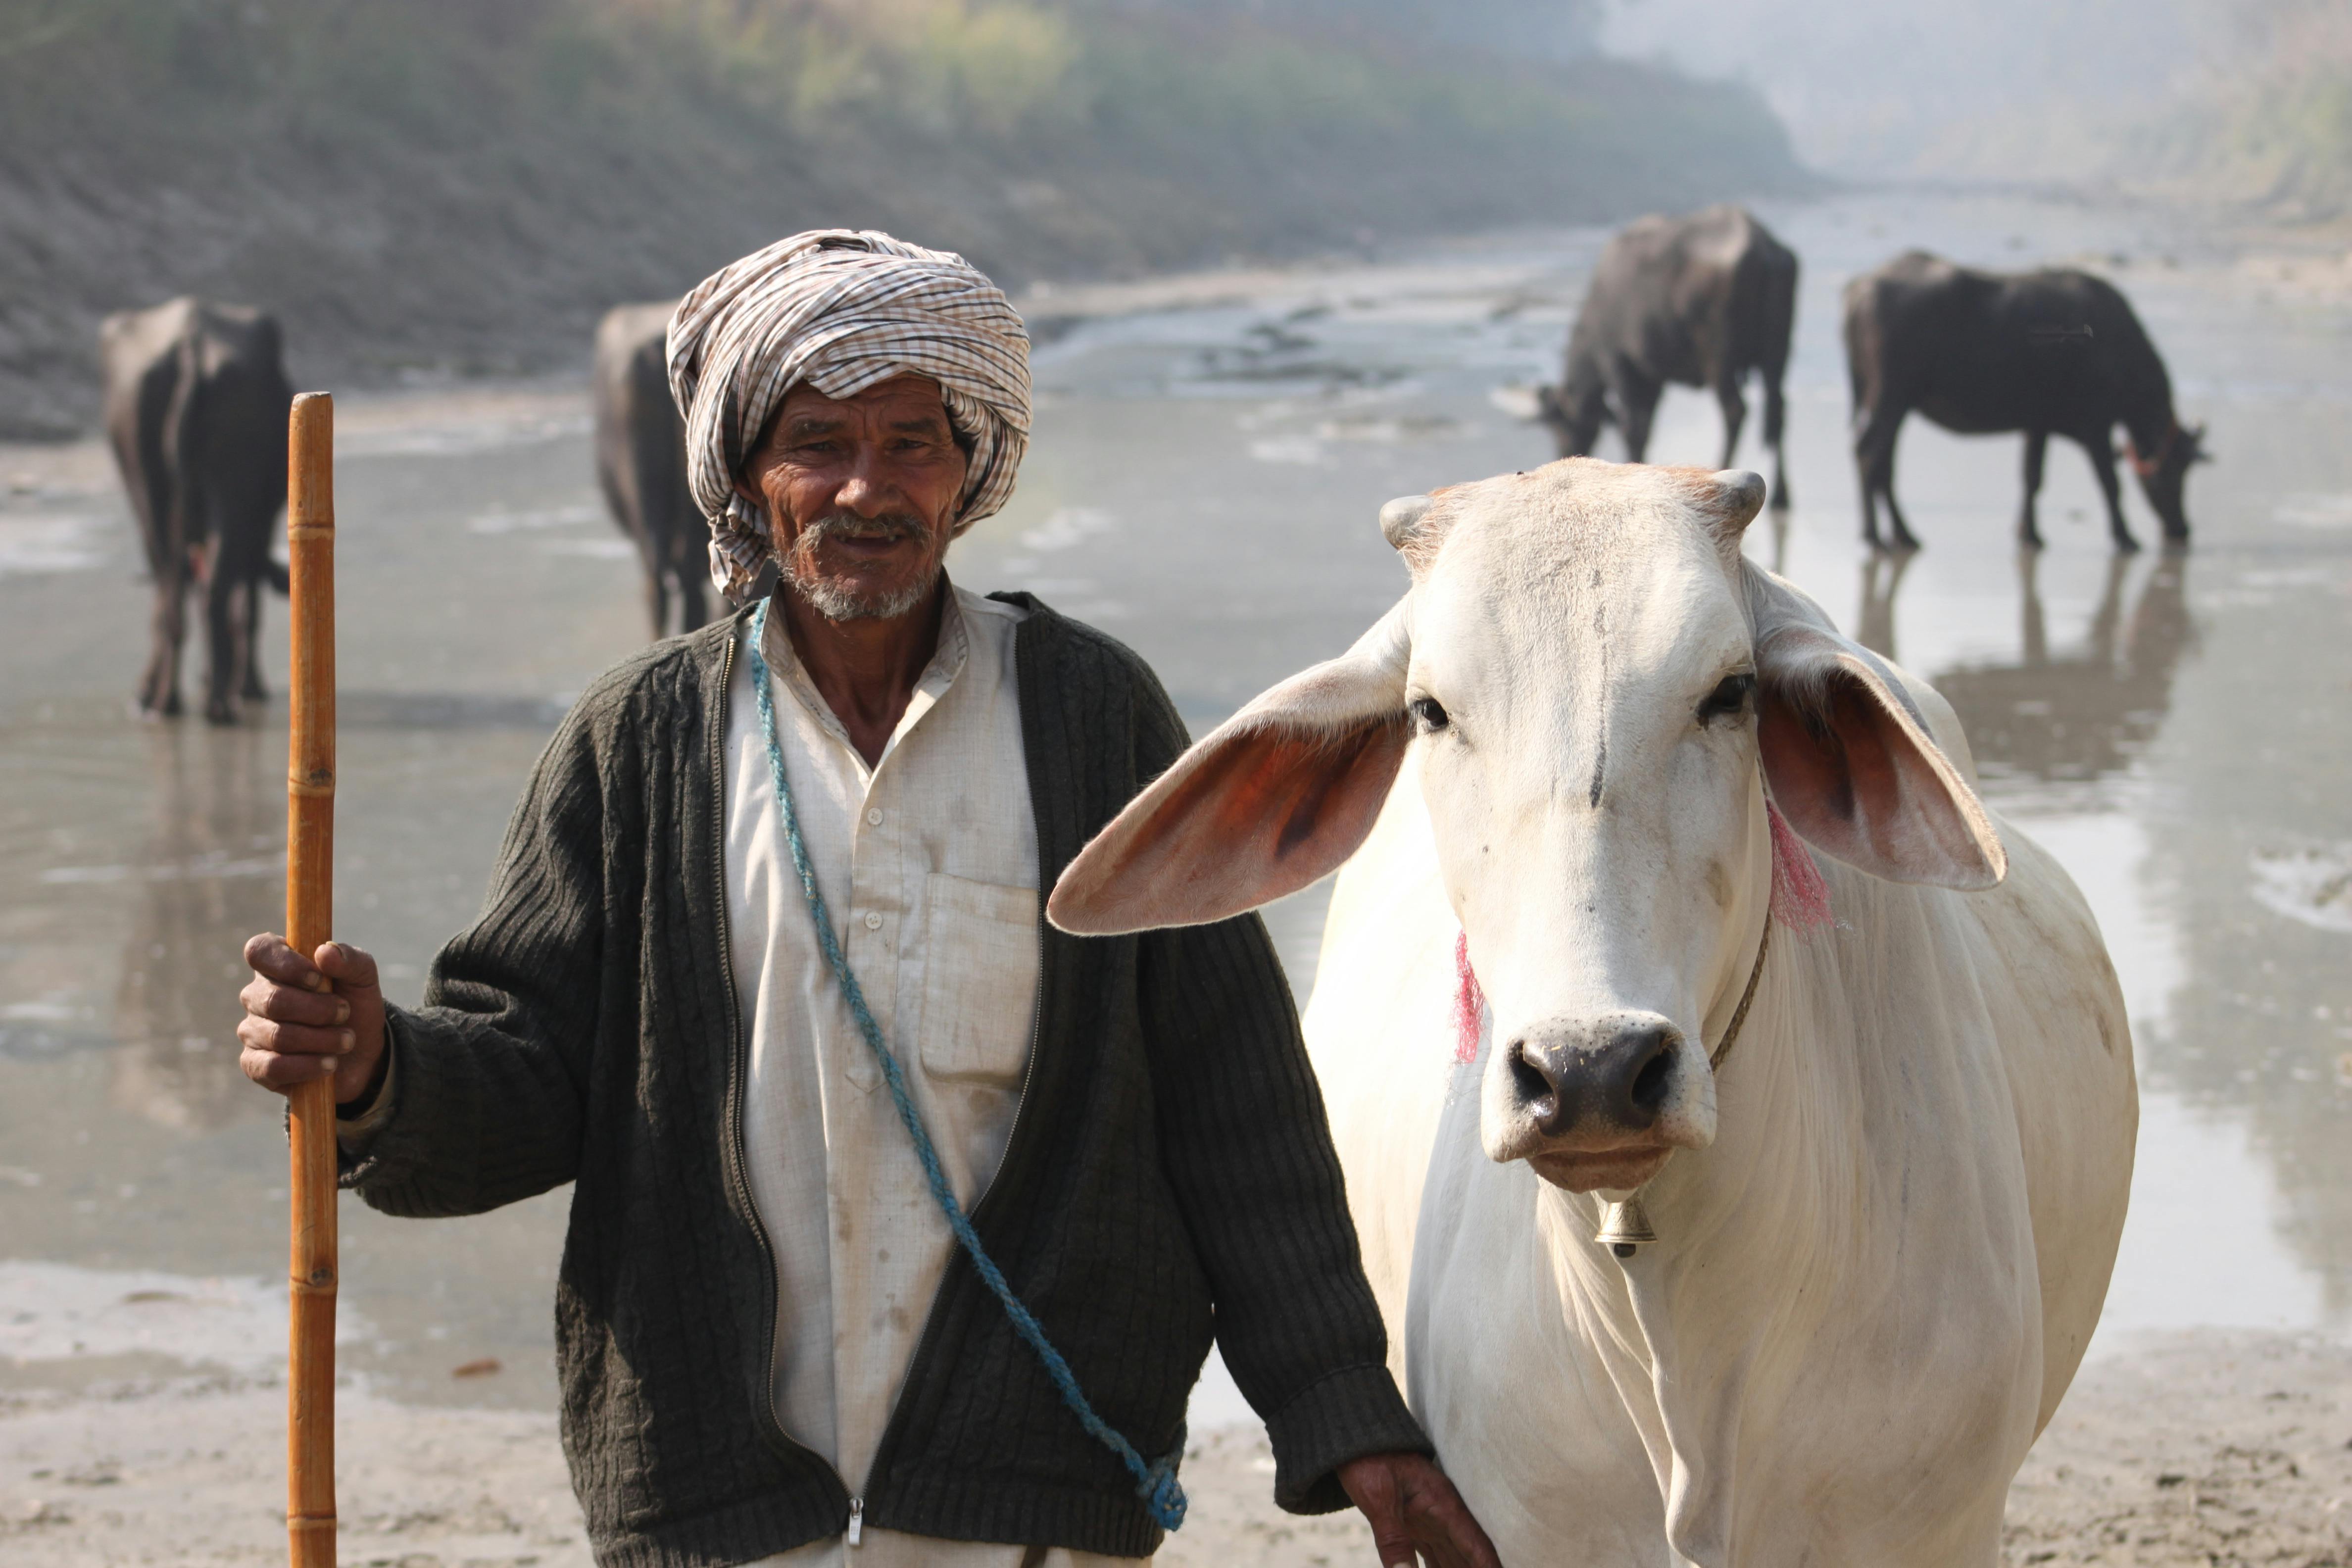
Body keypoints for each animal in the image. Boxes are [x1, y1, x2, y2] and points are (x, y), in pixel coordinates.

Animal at [100, 298, 294, 724]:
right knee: (209, 591)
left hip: (151, 494)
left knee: (173, 591)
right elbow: (247, 604)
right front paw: (248, 685)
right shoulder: (261, 521)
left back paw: (167, 700)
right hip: (227, 494)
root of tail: (192, 347)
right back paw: (215, 700)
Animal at [1539, 205, 1798, 510]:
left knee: (1735, 411)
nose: (1565, 451)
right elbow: (1646, 428)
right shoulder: (1654, 379)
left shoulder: (1620, 366)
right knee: (1778, 412)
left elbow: (1633, 427)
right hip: (1777, 357)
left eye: (1560, 424)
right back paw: (1781, 495)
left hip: (1719, 360)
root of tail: (1762, 244)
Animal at [1842, 252, 2207, 554]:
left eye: (2188, 469)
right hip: (1891, 396)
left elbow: (2032, 477)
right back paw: (1875, 537)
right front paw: (2125, 537)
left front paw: (2029, 533)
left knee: (1884, 463)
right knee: (1870, 454)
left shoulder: (2037, 424)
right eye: (2173, 471)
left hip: (1889, 401)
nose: (2182, 528)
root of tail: (1862, 287)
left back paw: (1902, 535)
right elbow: (2110, 484)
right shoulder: (2096, 428)